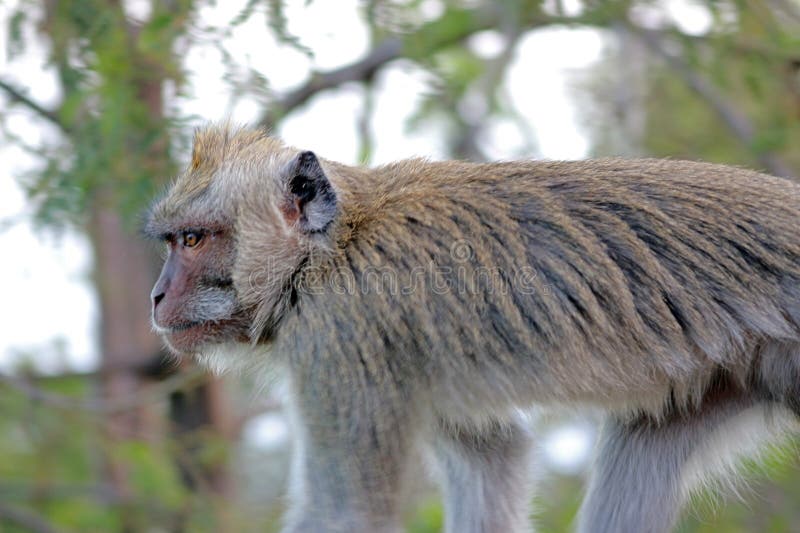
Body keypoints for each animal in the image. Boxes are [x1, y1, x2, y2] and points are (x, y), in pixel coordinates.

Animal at [146, 125, 800, 533]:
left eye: (194, 240)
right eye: (173, 241)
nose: (155, 295)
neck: (334, 248)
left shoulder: (341, 331)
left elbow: (347, 515)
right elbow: (494, 458)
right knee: (647, 444)